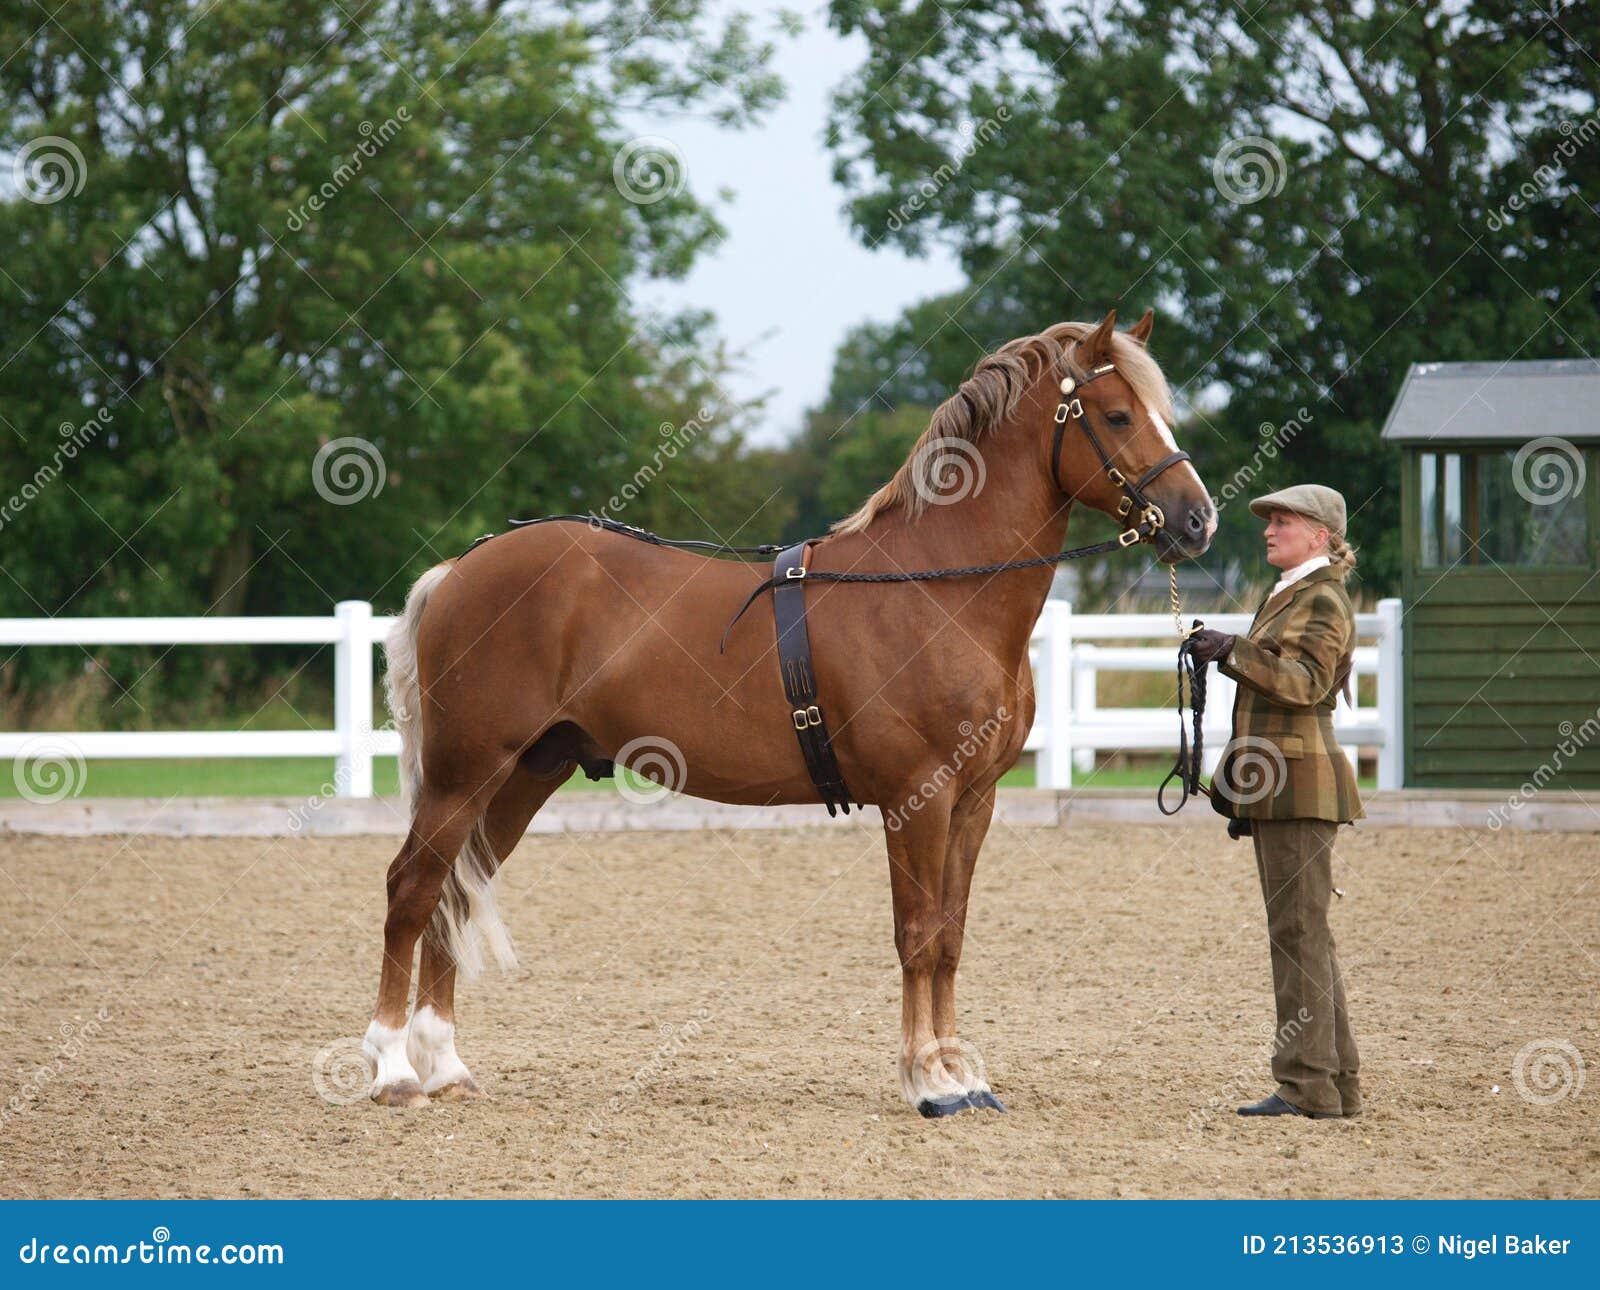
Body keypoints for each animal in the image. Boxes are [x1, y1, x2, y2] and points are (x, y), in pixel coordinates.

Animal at [363, 308, 1216, 1116]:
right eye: (1116, 414)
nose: (1197, 520)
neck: (935, 589)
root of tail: (461, 569)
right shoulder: (918, 798)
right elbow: (917, 935)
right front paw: (928, 1081)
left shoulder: (975, 800)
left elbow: (950, 935)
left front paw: (962, 1075)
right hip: (466, 771)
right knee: (412, 888)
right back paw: (396, 1070)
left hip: (527, 773)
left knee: (456, 890)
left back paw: (447, 1068)